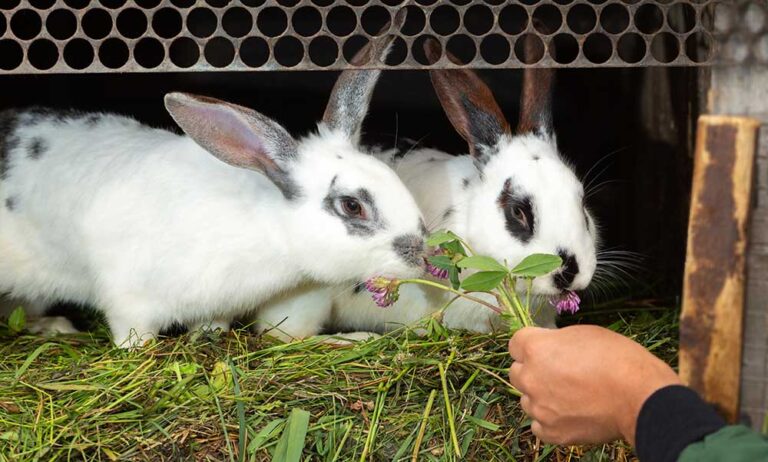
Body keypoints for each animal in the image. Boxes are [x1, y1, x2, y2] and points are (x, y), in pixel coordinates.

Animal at [0, 17, 427, 348]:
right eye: (352, 206)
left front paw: (208, 336)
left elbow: (212, 325)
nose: (422, 254)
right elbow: (132, 334)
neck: (267, 230)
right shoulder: (128, 298)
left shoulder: (217, 306)